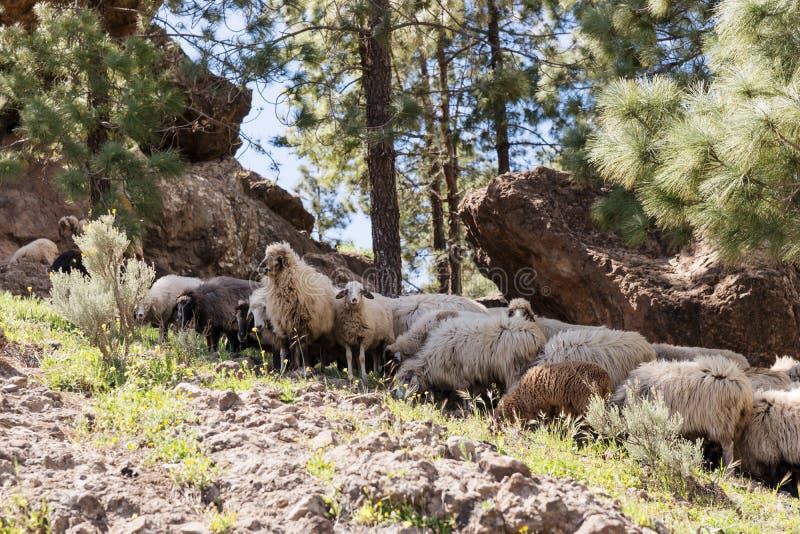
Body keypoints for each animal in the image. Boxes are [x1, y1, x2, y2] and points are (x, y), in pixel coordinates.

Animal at [257, 242, 336, 370]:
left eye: (278, 258)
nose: (260, 266)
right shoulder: (287, 323)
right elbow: (292, 344)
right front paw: (293, 366)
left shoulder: (303, 321)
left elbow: (301, 345)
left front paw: (304, 366)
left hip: (324, 328)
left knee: (321, 349)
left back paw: (321, 368)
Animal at [394, 313, 546, 398]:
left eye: (405, 381)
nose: (396, 397)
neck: (429, 360)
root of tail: (537, 337)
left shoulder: (459, 377)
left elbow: (465, 396)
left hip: (514, 369)